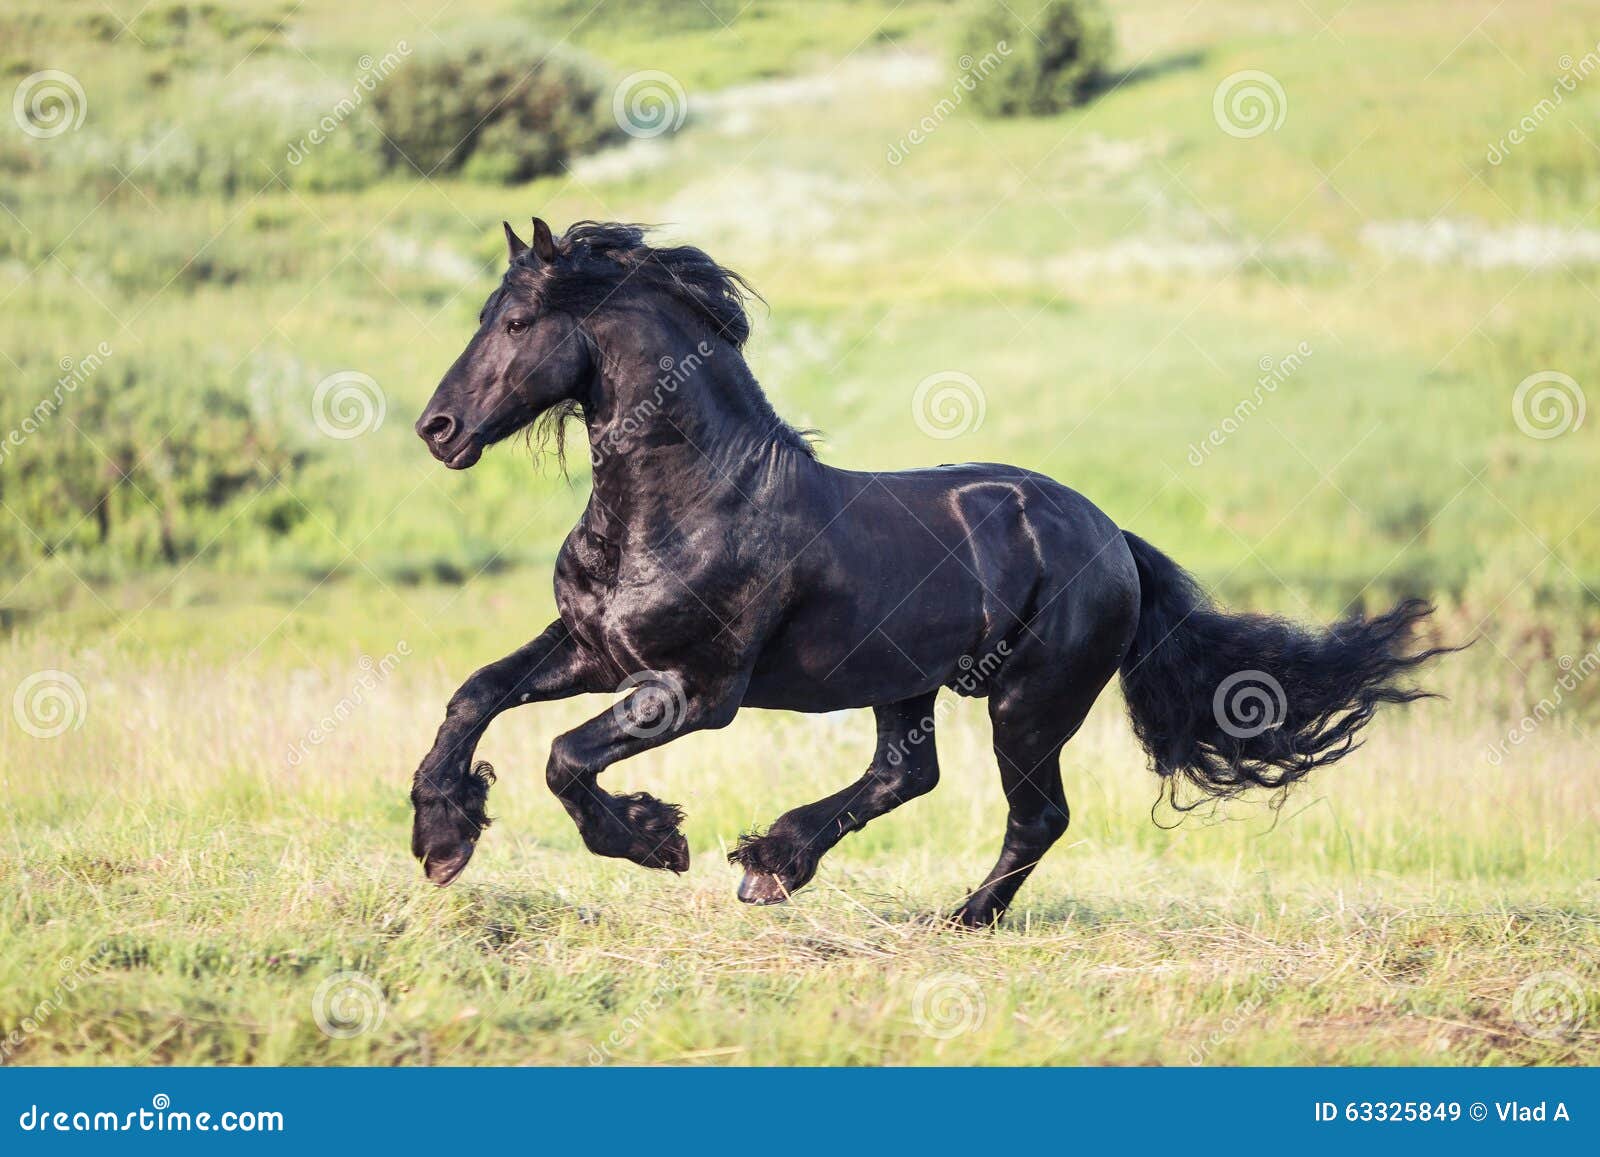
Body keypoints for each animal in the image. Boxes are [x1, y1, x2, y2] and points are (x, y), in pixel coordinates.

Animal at [408, 218, 1452, 927]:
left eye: (517, 321)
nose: (437, 429)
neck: (688, 498)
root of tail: (1111, 536)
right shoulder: (593, 648)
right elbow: (475, 695)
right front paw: (441, 836)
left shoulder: (696, 690)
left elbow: (565, 756)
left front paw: (657, 838)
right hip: (906, 680)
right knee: (905, 774)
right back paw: (775, 860)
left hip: (1029, 701)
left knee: (1036, 815)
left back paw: (956, 916)